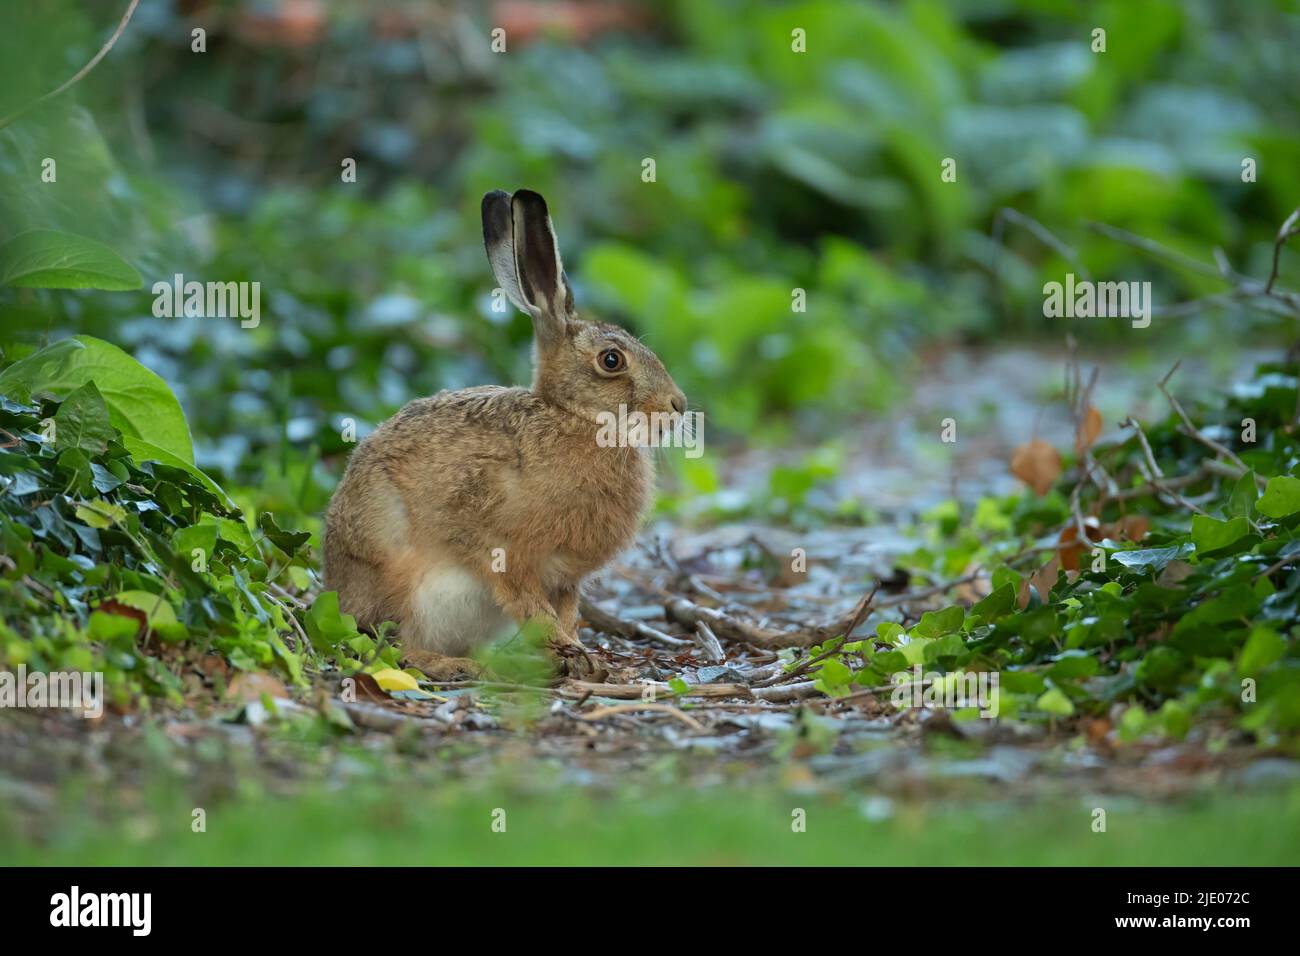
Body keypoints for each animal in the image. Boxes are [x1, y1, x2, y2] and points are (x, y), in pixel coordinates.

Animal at [322, 189, 687, 681]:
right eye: (611, 360)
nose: (678, 406)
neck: (573, 417)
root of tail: (337, 595)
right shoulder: (502, 550)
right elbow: (528, 603)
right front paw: (571, 654)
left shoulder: (566, 580)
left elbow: (565, 611)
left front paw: (579, 655)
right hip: (400, 581)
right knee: (396, 647)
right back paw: (461, 667)